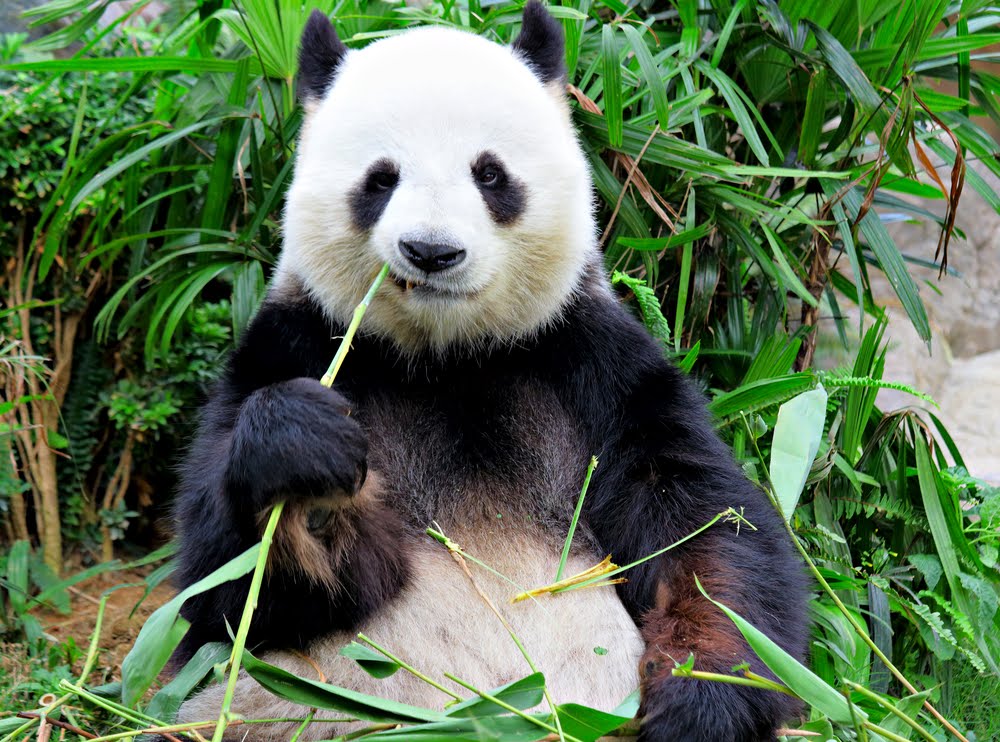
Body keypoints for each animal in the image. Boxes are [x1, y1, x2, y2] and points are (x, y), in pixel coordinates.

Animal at [172, 3, 808, 740]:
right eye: (380, 178)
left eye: (490, 174)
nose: (431, 251)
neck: (447, 357)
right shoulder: (294, 344)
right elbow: (230, 593)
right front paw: (305, 465)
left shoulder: (592, 363)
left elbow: (704, 530)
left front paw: (703, 701)